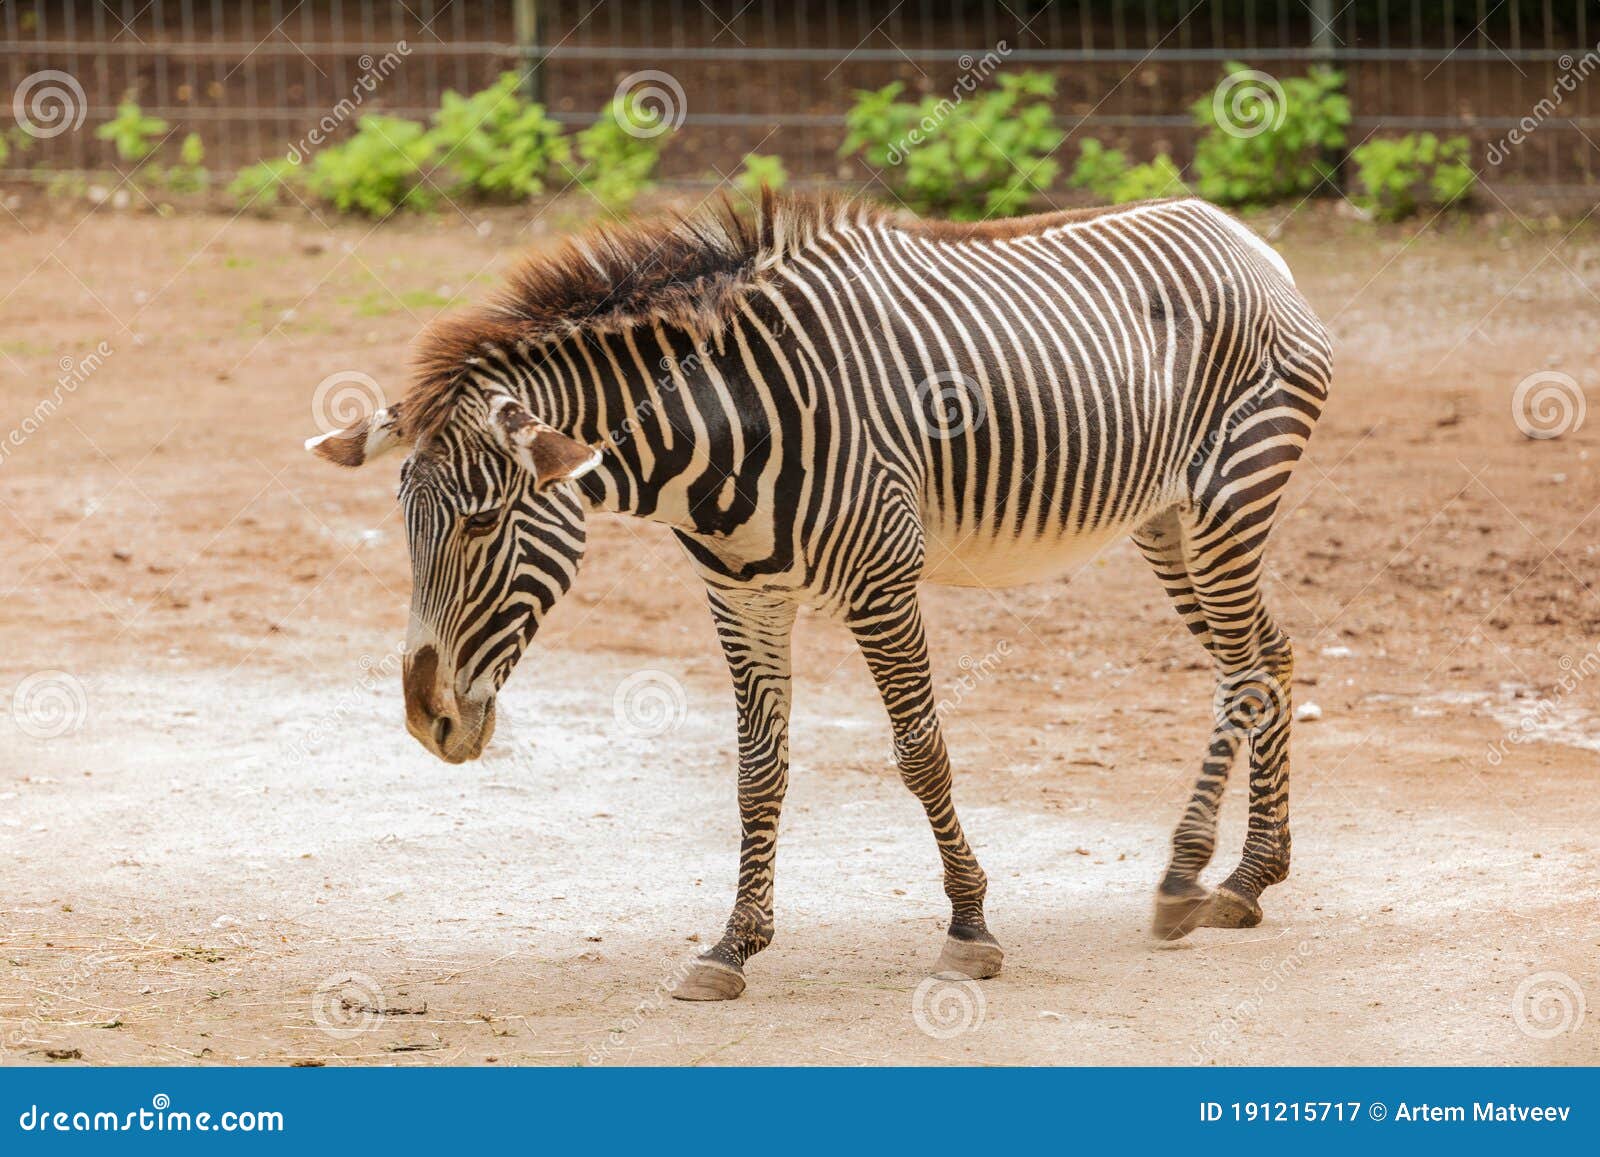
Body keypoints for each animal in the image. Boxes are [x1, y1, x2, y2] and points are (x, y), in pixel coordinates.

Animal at [307, 192, 1333, 1001]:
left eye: (483, 523)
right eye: (405, 522)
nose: (425, 718)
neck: (726, 435)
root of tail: (1242, 234)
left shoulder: (883, 584)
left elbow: (922, 755)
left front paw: (970, 928)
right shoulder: (741, 597)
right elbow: (757, 772)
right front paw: (732, 945)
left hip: (1229, 495)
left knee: (1244, 669)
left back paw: (1184, 878)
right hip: (1168, 520)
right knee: (1267, 656)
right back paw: (1249, 877)